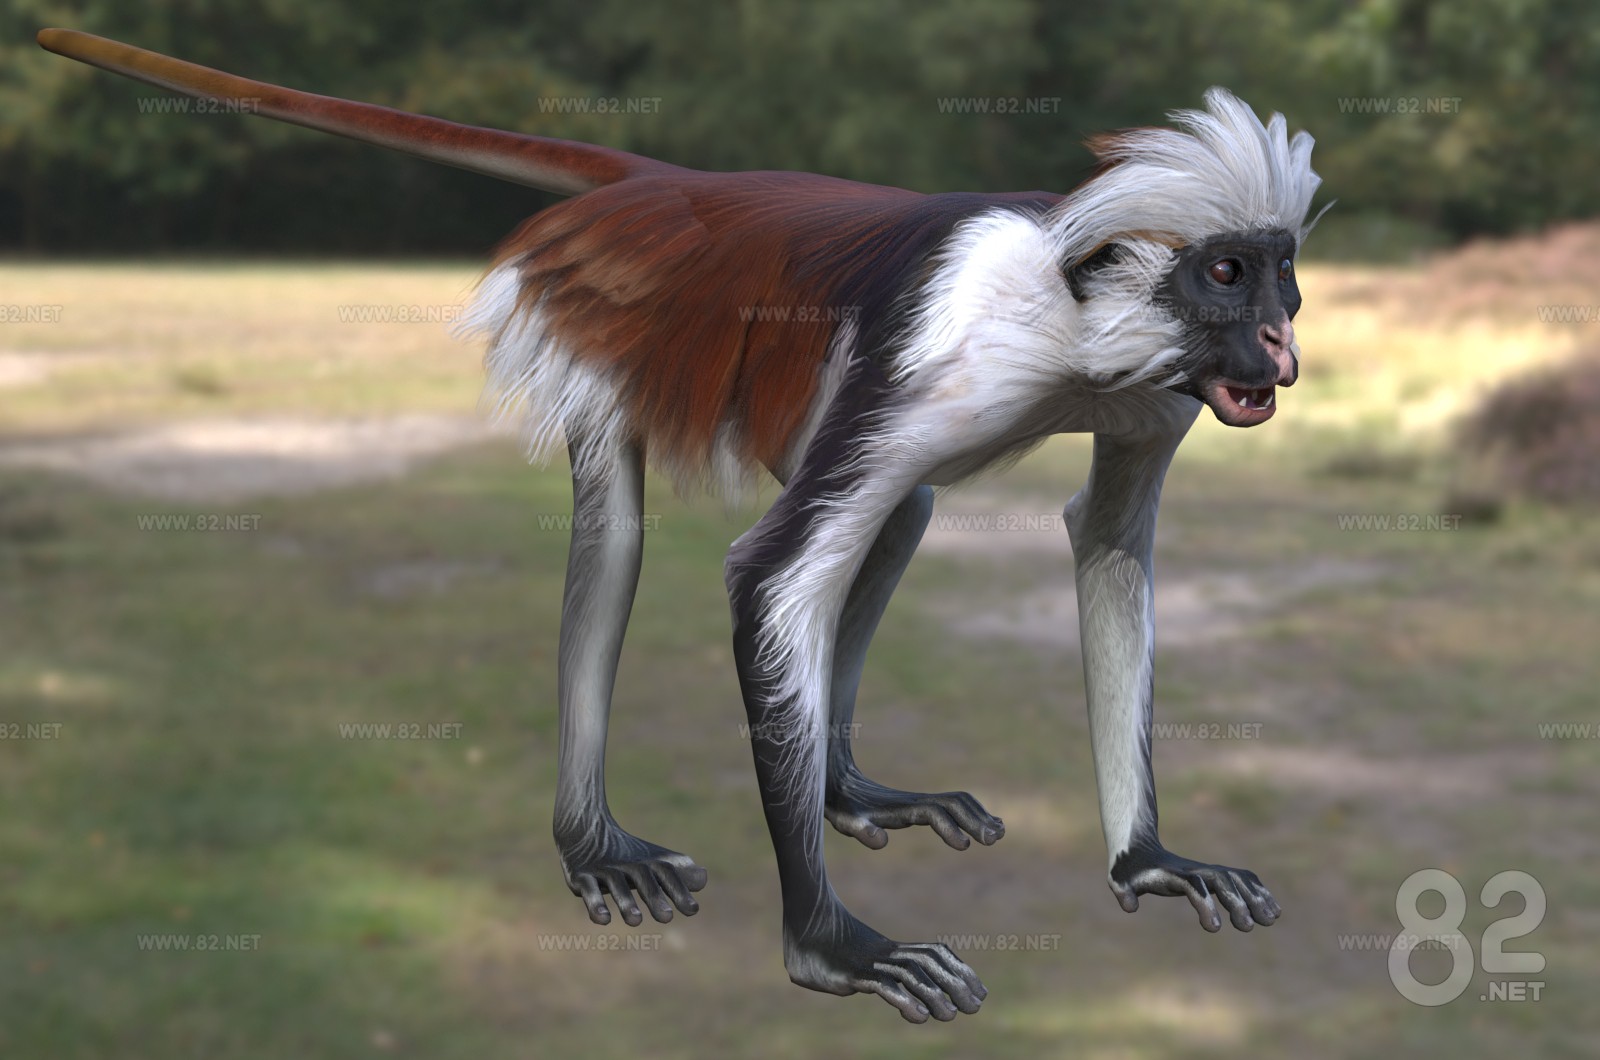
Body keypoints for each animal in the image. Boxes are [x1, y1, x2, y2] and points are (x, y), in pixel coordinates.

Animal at [38, 29, 1320, 1023]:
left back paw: (844, 791)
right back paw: (590, 838)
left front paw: (1145, 862)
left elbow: (1104, 542)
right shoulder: (948, 355)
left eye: (1280, 278)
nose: (1282, 347)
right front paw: (827, 951)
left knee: (892, 516)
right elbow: (763, 576)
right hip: (601, 302)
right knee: (625, 522)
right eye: (1224, 274)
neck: (1070, 315)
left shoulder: (1160, 399)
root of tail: (665, 186)